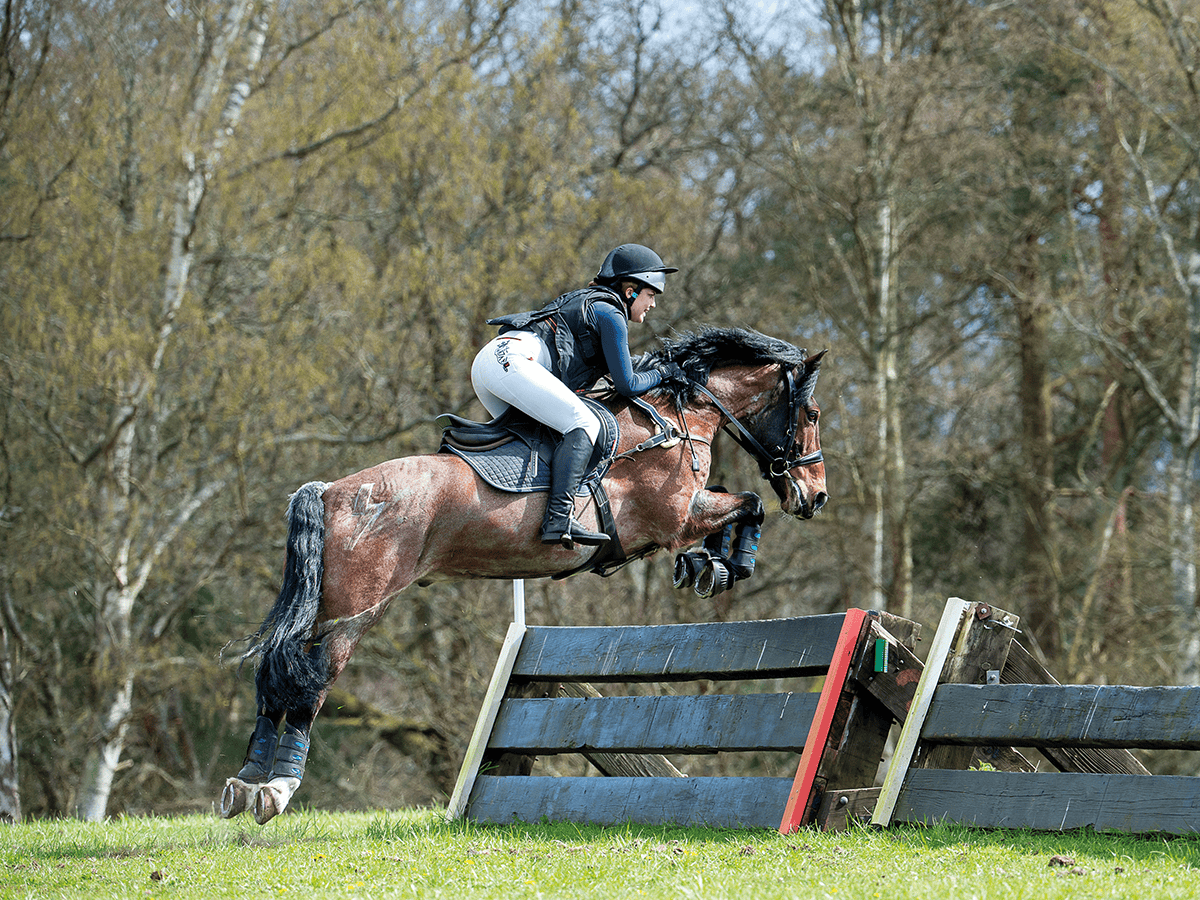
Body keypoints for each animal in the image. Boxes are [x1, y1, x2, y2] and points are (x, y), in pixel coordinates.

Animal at [219, 326, 828, 824]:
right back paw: (277, 787)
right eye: (813, 415)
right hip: (357, 609)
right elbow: (749, 504)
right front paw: (727, 565)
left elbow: (736, 506)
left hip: (324, 607)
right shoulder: (673, 518)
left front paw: (706, 565)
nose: (815, 496)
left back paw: (245, 784)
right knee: (312, 679)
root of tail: (328, 491)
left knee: (275, 673)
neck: (673, 422)